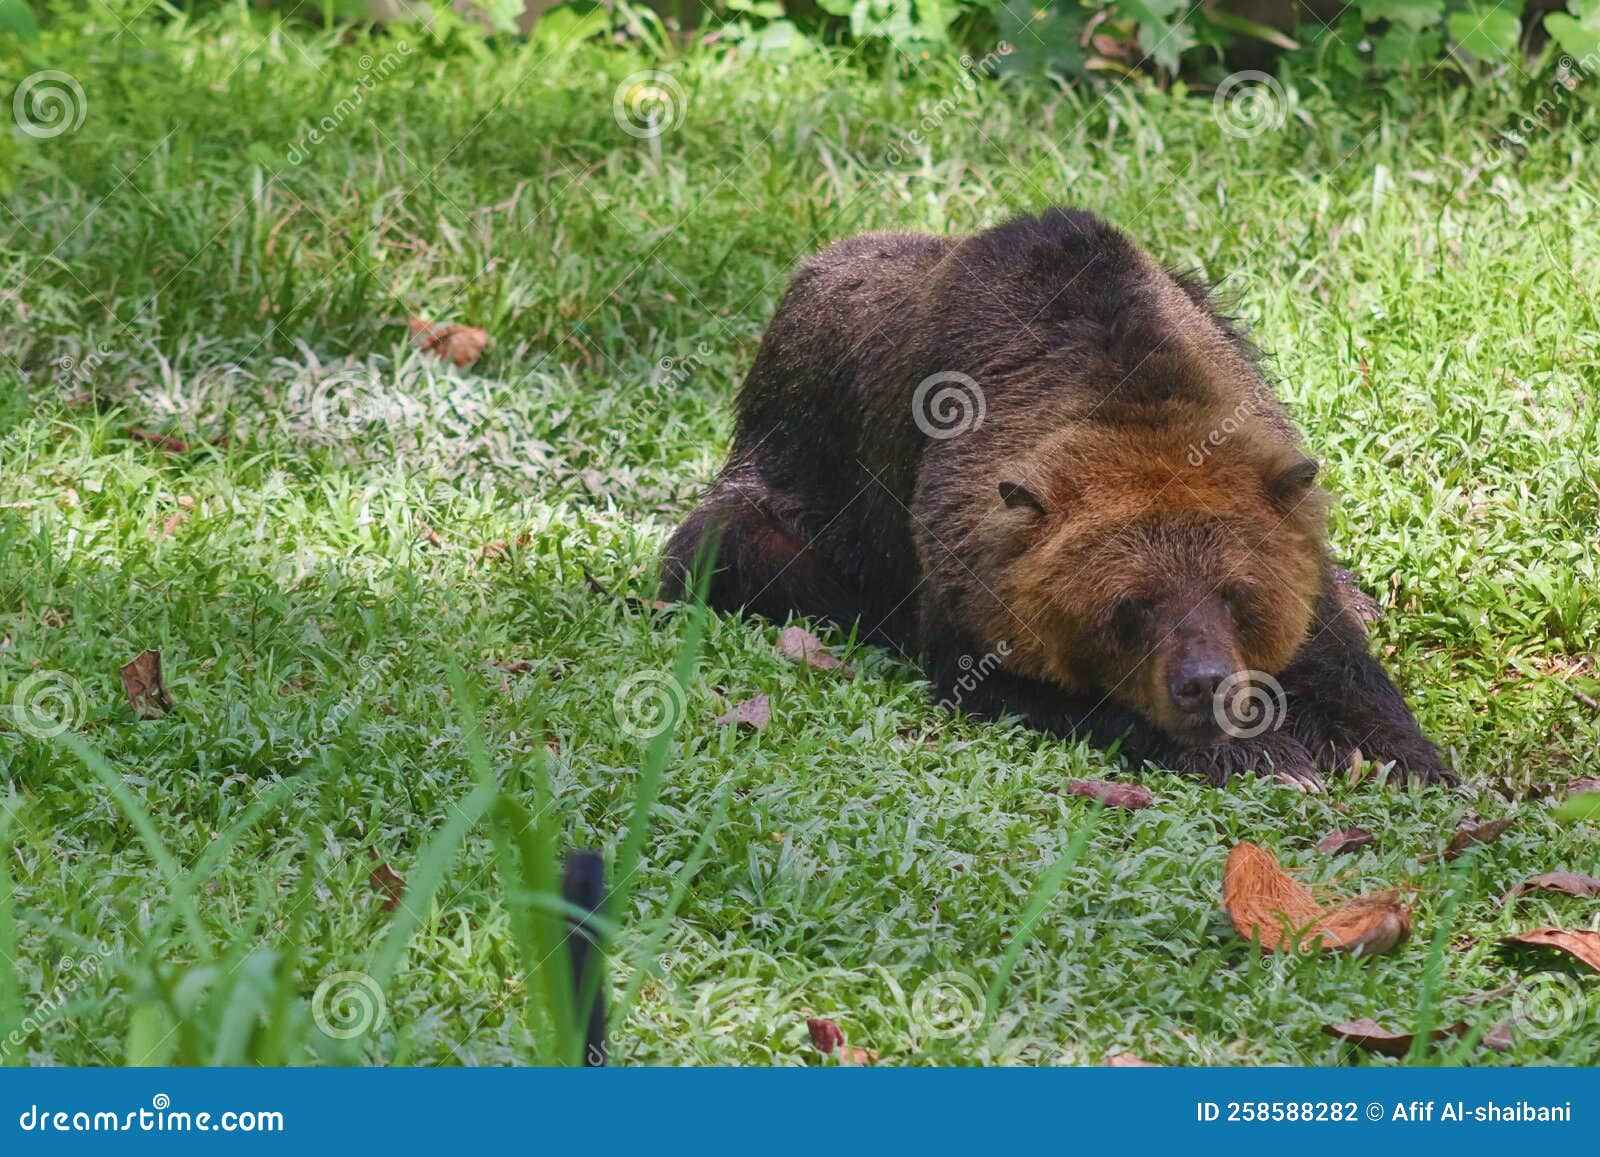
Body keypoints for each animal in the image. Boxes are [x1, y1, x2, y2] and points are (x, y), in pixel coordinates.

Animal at [662, 208, 1453, 789]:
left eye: (1237, 593)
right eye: (1132, 604)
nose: (1203, 684)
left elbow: (1335, 648)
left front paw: (1395, 752)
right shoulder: (954, 553)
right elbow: (1024, 681)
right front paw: (1266, 754)